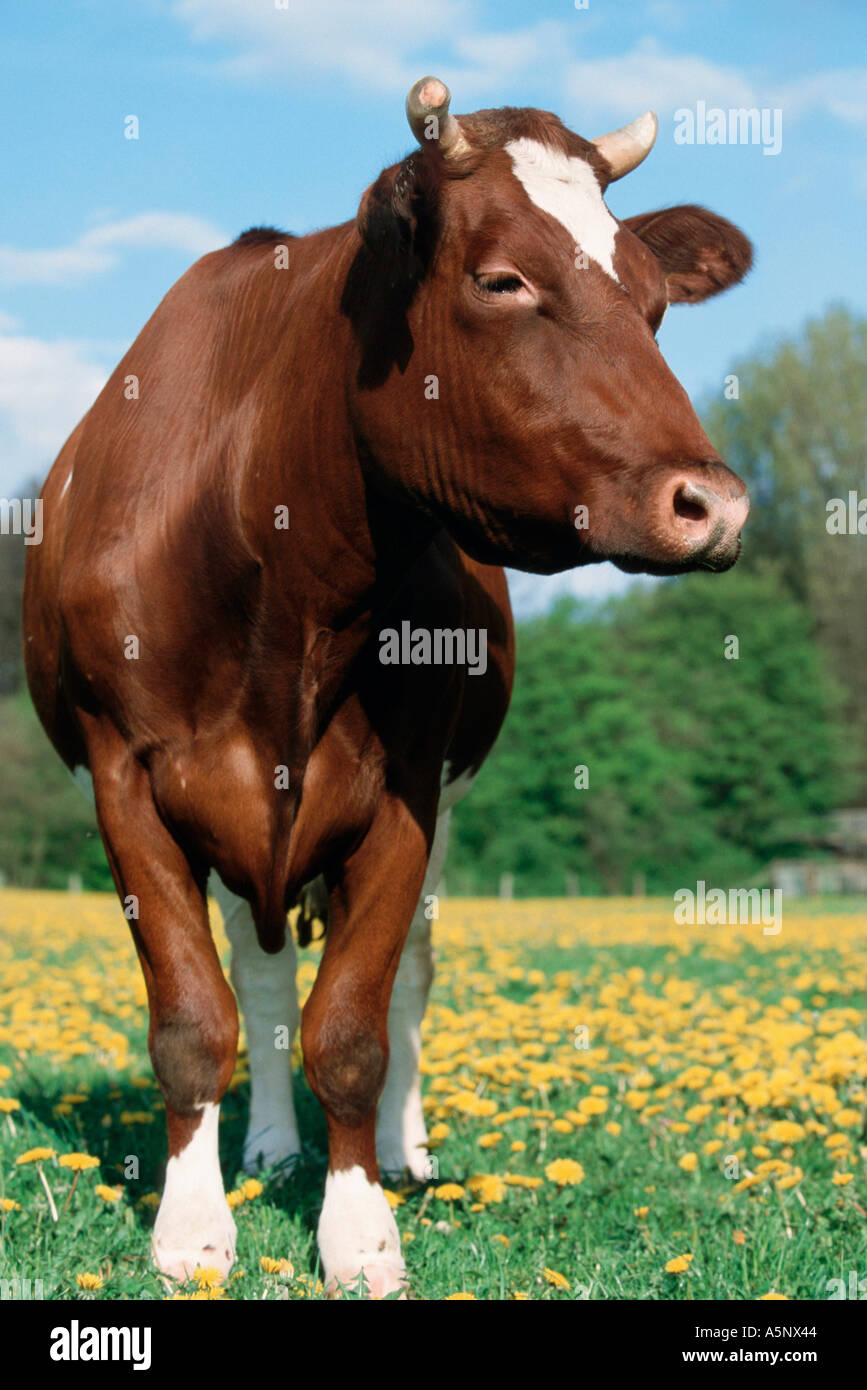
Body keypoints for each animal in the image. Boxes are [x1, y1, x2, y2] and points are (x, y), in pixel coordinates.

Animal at [22, 77, 751, 1298]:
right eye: (503, 279)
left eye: (655, 303)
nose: (716, 505)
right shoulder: (123, 776)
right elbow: (194, 1015)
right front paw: (192, 1228)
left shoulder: (406, 786)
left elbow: (356, 1024)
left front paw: (360, 1231)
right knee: (261, 973)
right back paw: (266, 1145)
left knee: (409, 971)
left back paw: (405, 1153)